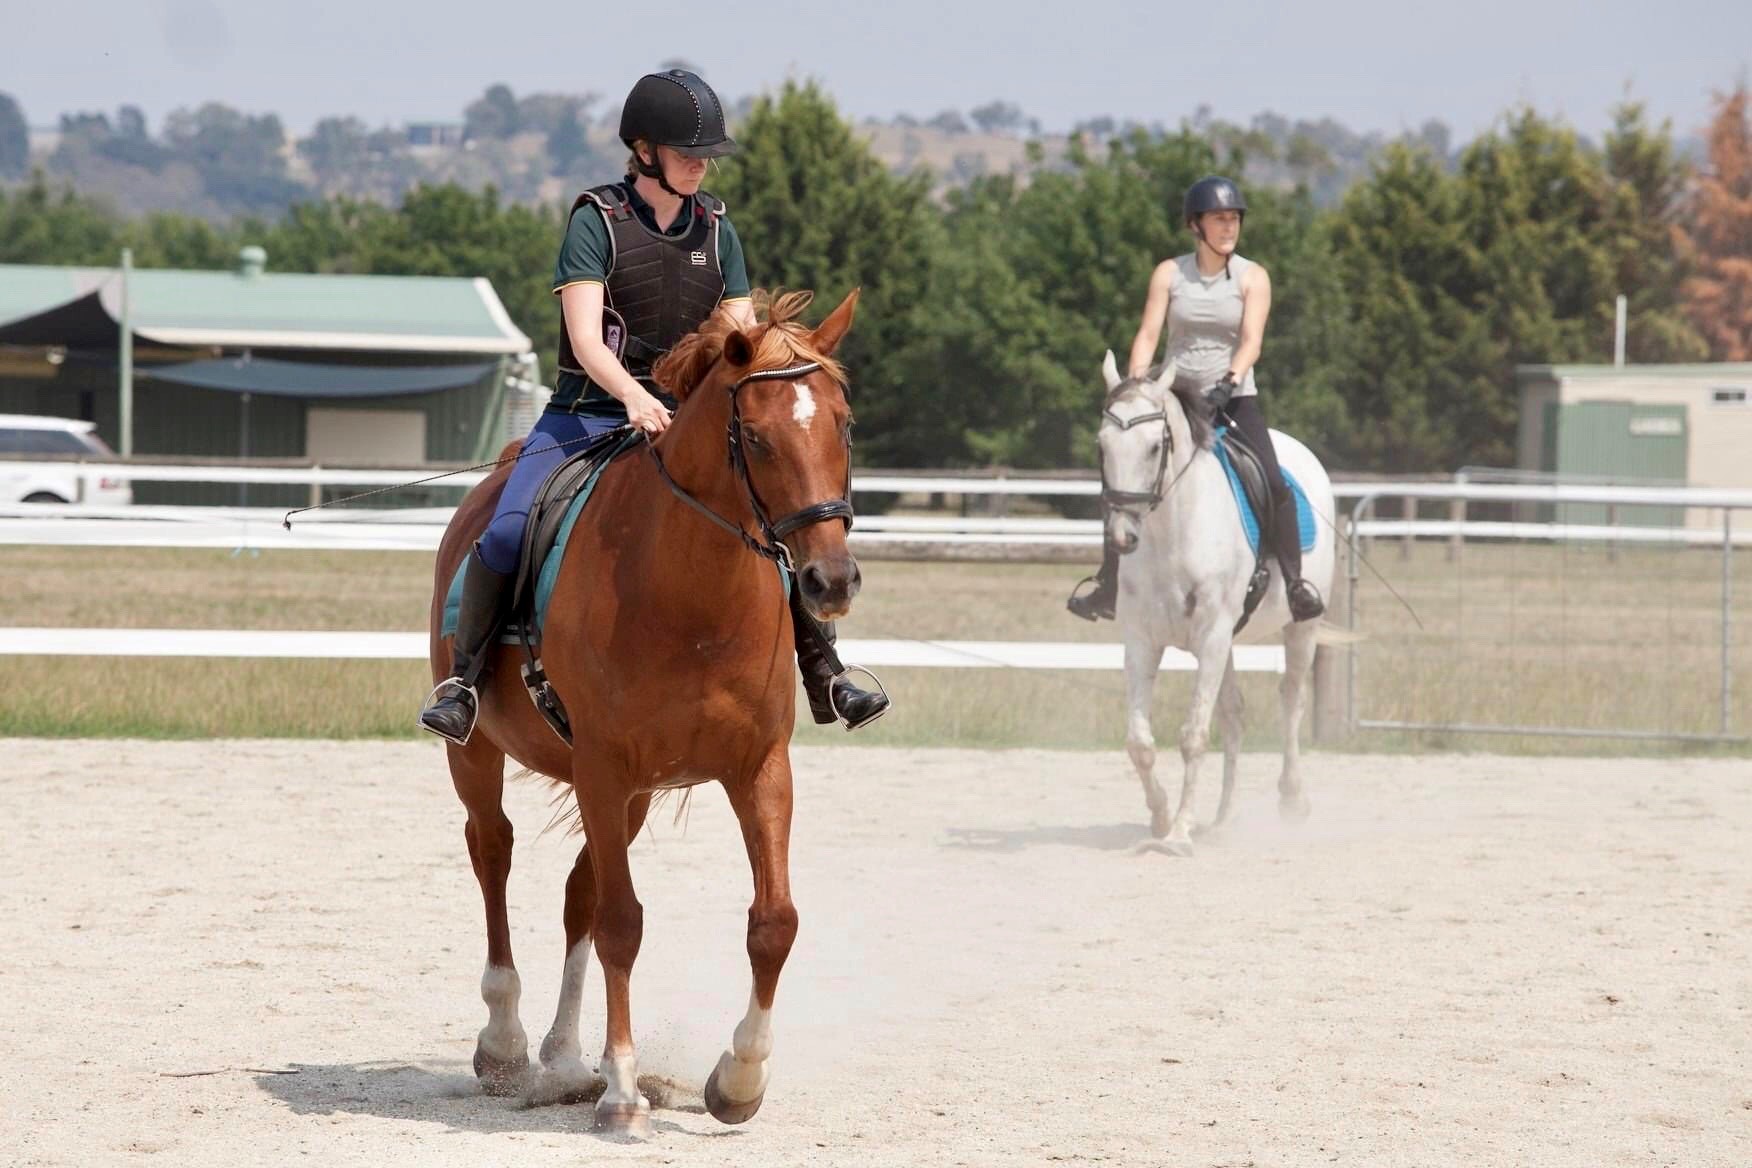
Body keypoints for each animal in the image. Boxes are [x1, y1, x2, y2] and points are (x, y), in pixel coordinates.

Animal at [428, 289, 862, 1135]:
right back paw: (506, 1044)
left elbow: (774, 922)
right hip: (481, 754)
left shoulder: (757, 769)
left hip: (628, 797)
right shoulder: (604, 766)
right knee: (494, 852)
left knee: (578, 893)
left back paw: (566, 1058)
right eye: (755, 437)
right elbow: (623, 925)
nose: (830, 581)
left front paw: (739, 1079)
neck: (691, 595)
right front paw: (624, 1094)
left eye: (843, 425)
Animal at [1095, 351, 1337, 857]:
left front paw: (1178, 836)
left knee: (1291, 701)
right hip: (1228, 641)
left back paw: (1292, 800)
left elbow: (1192, 737)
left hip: (1298, 628)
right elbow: (1140, 742)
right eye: (1102, 446)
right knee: (1234, 714)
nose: (1122, 537)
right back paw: (1224, 820)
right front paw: (1162, 819)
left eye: (1154, 447)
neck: (1172, 531)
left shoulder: (1210, 637)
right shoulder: (1143, 641)